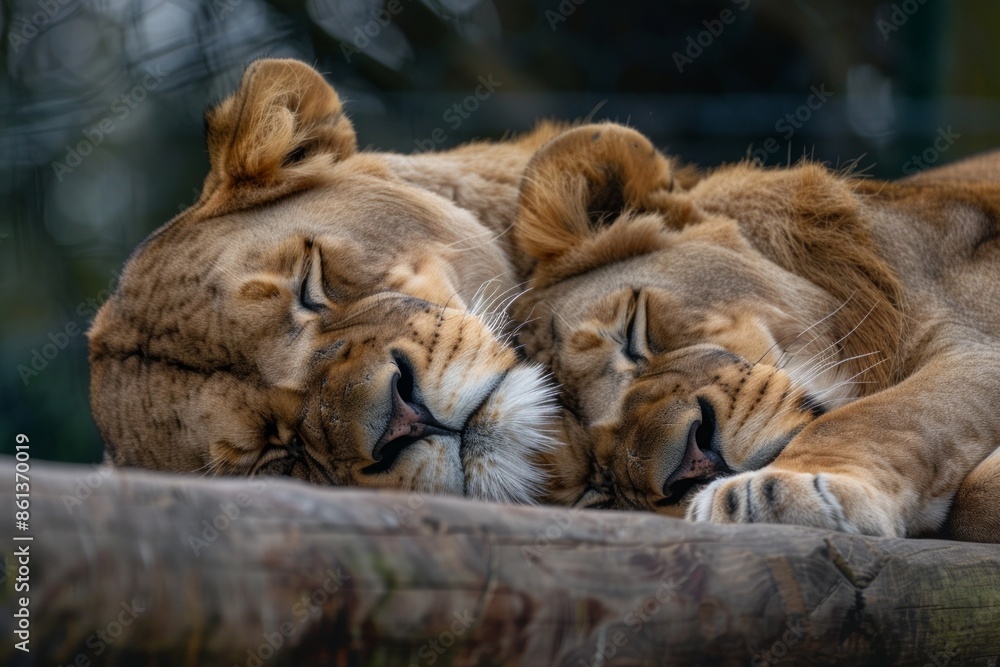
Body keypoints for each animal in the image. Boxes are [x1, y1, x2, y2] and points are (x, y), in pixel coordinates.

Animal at [511, 122, 1000, 542]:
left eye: (632, 333)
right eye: (598, 487)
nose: (690, 463)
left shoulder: (974, 348)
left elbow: (877, 416)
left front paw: (783, 487)